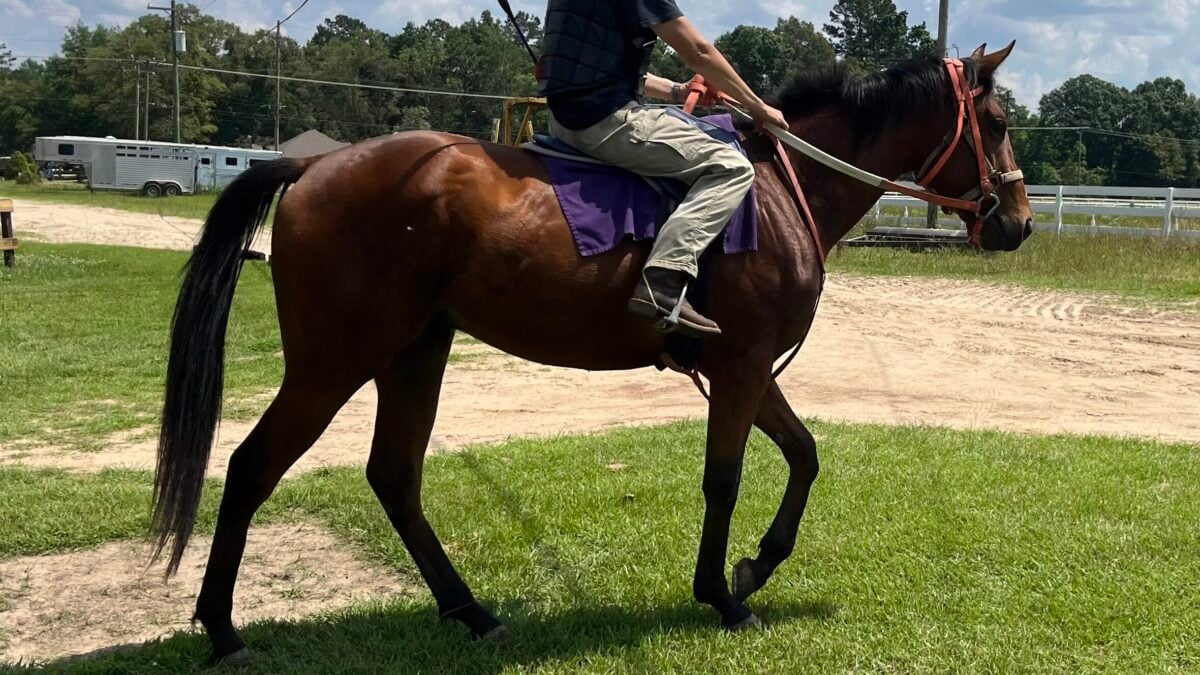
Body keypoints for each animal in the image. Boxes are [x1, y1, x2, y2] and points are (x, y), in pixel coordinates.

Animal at [151, 43, 1033, 662]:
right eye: (994, 124)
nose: (1018, 221)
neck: (783, 187)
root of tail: (313, 162)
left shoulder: (743, 368)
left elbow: (806, 454)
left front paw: (754, 566)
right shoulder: (742, 367)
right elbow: (725, 478)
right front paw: (723, 594)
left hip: (414, 353)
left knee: (394, 476)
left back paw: (471, 611)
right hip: (333, 362)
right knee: (252, 467)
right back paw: (223, 629)